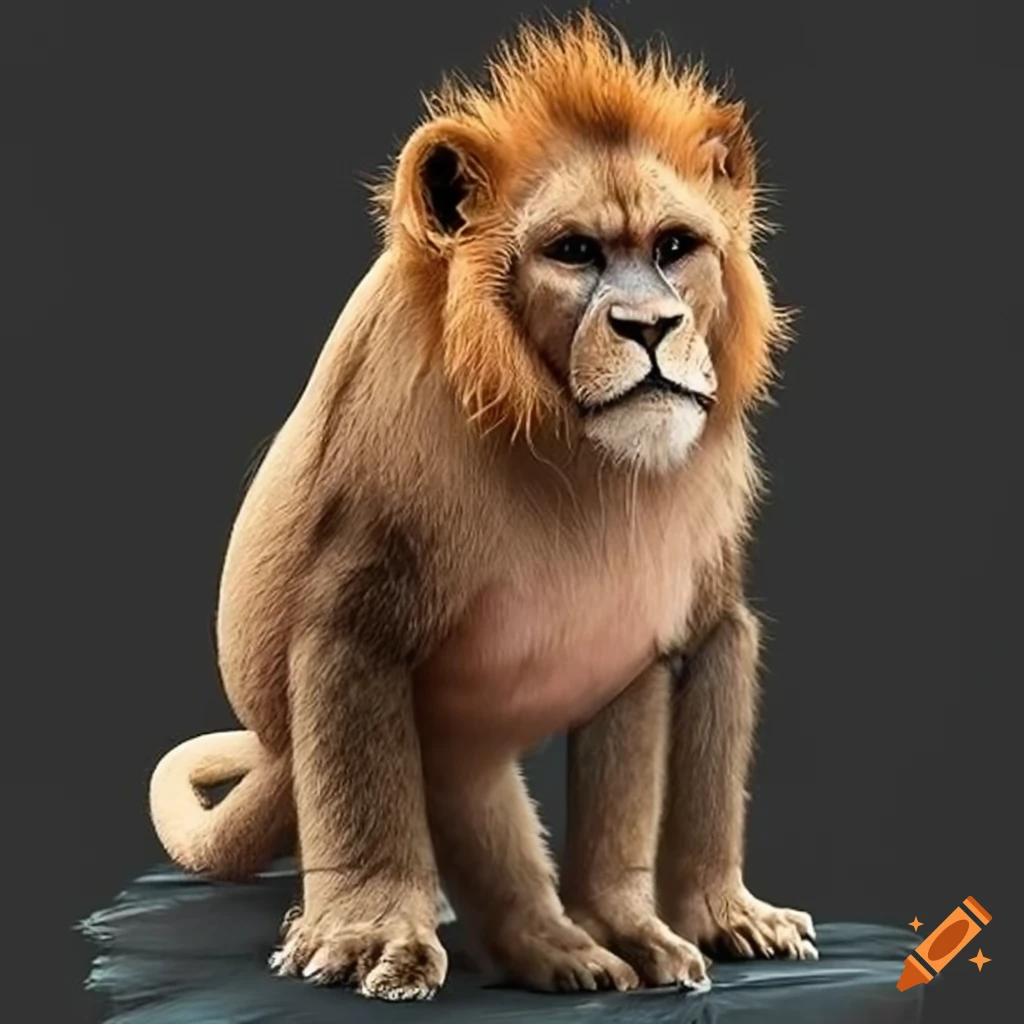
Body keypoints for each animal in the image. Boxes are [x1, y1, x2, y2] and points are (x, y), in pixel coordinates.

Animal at [148, 12, 817, 1002]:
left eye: (674, 248)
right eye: (573, 251)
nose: (650, 328)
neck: (586, 471)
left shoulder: (667, 632)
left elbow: (650, 805)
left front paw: (700, 921)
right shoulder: (354, 616)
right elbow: (362, 796)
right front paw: (368, 938)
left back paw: (586, 950)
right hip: (445, 732)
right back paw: (549, 949)